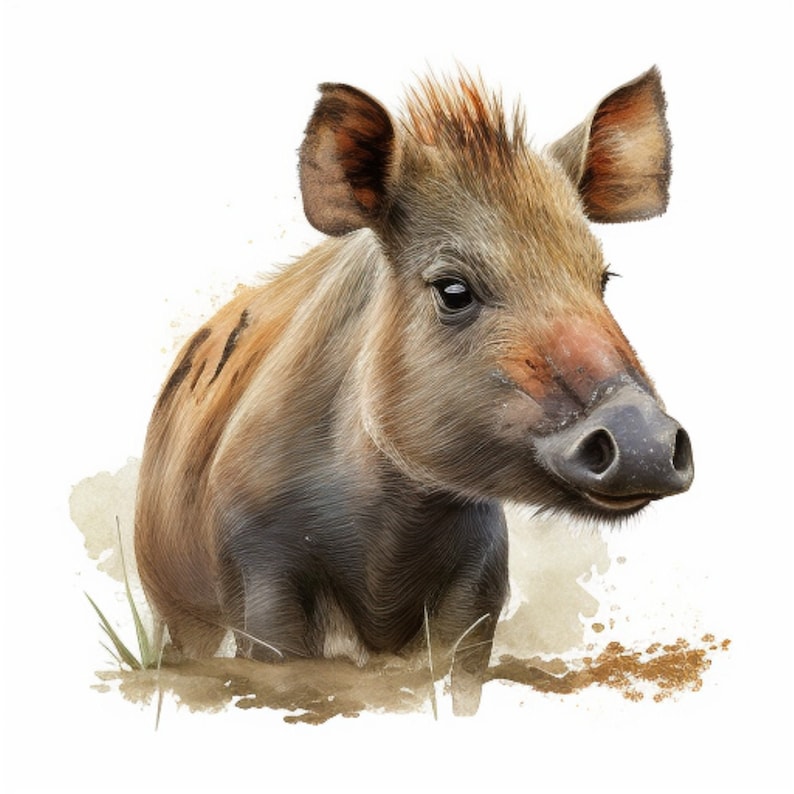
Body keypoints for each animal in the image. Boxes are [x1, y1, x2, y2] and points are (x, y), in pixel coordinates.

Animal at [135, 67, 693, 714]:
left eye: (602, 278)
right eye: (453, 289)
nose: (647, 441)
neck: (393, 532)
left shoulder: (479, 594)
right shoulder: (260, 577)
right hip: (173, 604)